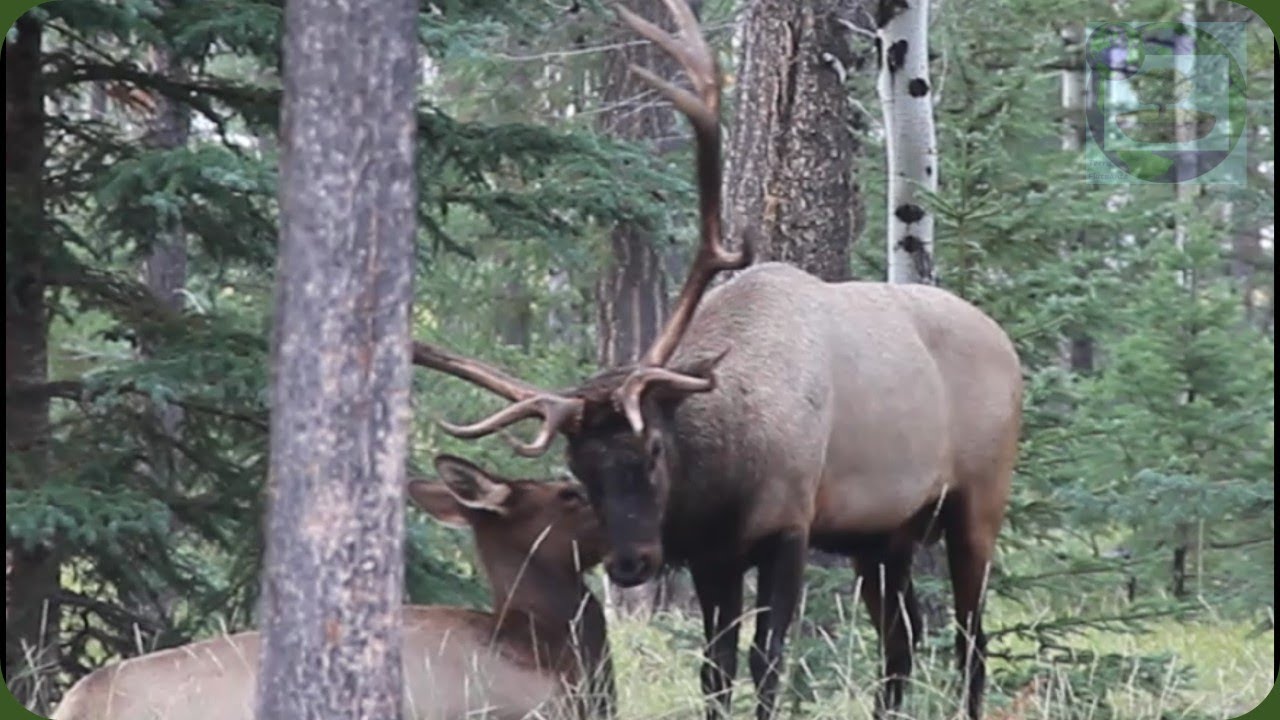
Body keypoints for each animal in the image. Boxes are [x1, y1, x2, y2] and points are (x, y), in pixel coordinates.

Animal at [408, 2, 1022, 719]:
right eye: (577, 469)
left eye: (652, 448)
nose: (631, 563)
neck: (722, 480)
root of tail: (1005, 341)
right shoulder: (712, 556)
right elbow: (714, 669)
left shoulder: (792, 525)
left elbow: (767, 661)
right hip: (885, 534)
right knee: (902, 641)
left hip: (978, 499)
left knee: (971, 639)